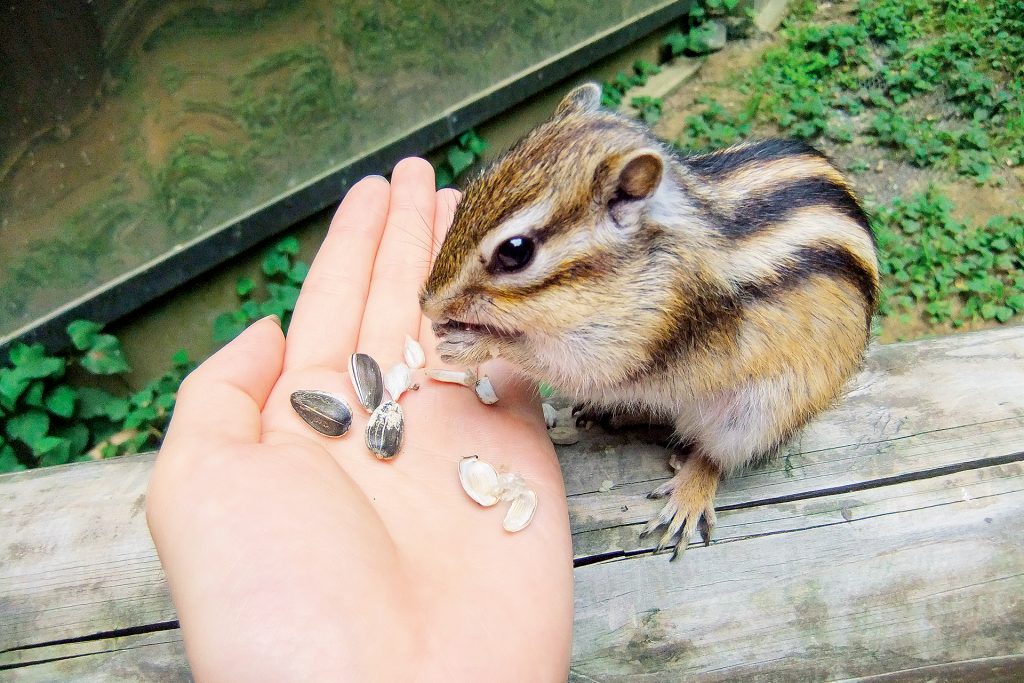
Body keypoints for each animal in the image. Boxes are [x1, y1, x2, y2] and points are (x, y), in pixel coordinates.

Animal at [420, 83, 879, 559]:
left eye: (516, 251)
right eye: (471, 190)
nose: (428, 304)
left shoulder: (637, 337)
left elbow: (566, 364)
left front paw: (472, 342)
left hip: (759, 413)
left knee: (717, 454)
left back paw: (689, 492)